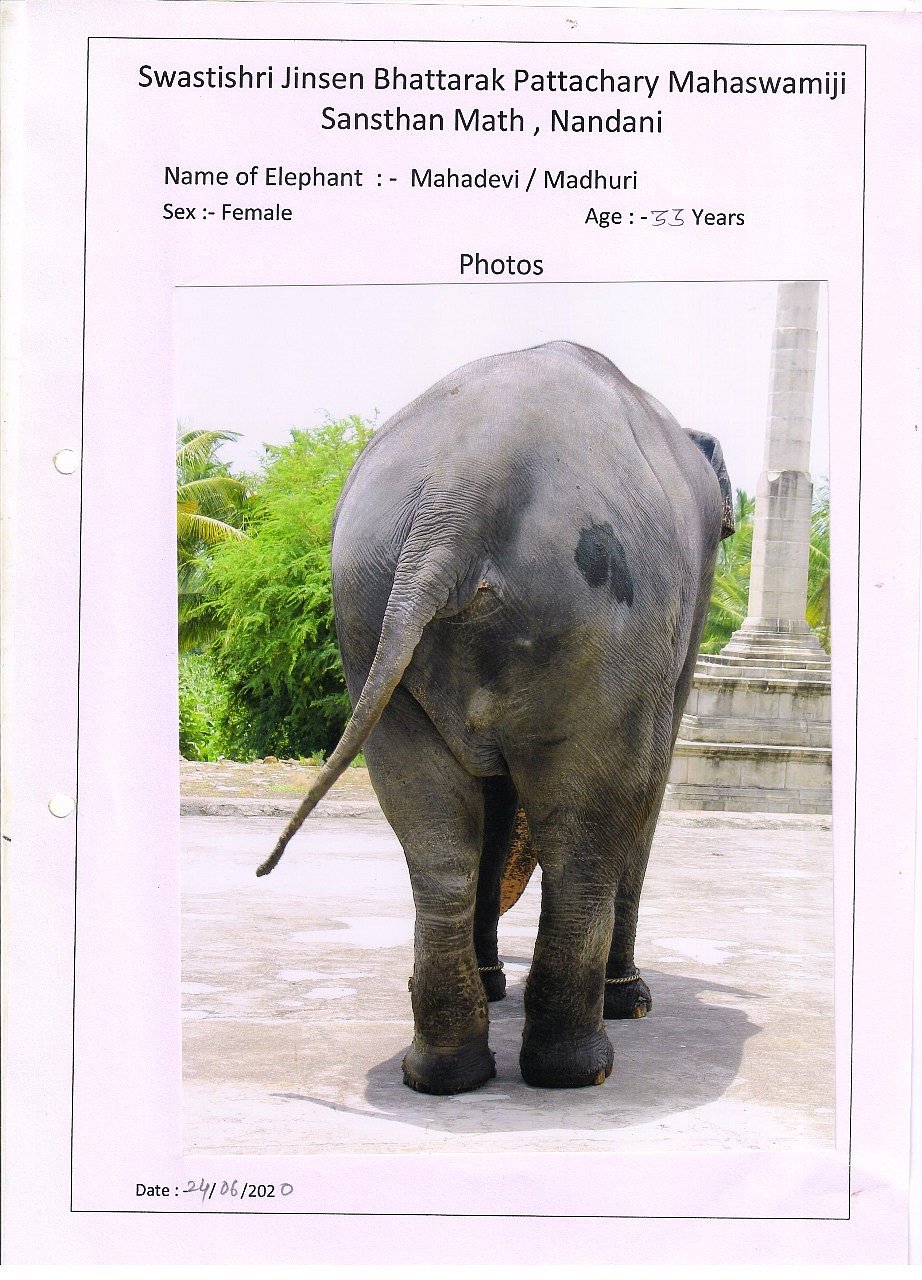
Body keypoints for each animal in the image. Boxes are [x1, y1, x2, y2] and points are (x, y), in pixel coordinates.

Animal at [257, 340, 734, 1095]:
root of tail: (457, 501)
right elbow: (649, 783)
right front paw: (633, 1000)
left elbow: (491, 801)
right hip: (600, 624)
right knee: (592, 821)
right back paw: (579, 1067)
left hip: (369, 615)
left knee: (436, 834)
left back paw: (446, 1071)